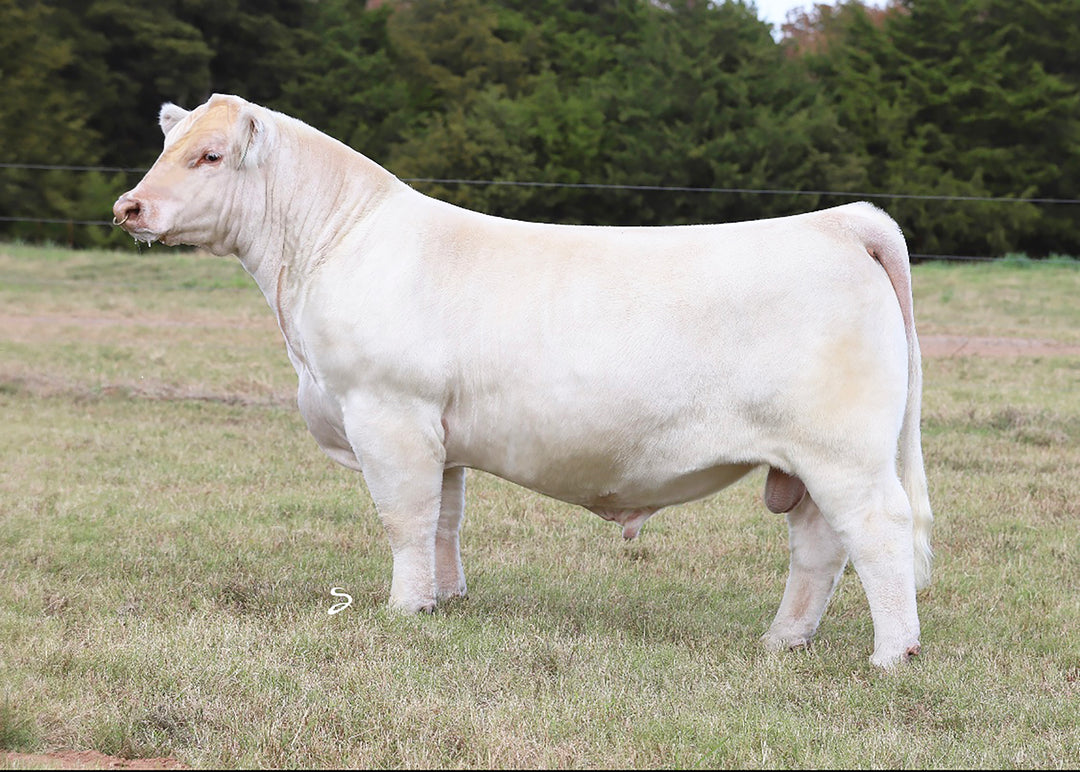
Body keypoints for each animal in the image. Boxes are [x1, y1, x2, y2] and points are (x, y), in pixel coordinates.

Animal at [113, 93, 933, 668]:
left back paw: (892, 655)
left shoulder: (387, 411)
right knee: (819, 547)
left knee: (879, 533)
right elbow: (445, 519)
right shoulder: (438, 430)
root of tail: (838, 222)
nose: (129, 206)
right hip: (808, 462)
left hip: (845, 453)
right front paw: (443, 600)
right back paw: (782, 641)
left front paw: (401, 609)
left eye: (210, 155)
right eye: (166, 146)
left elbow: (405, 518)